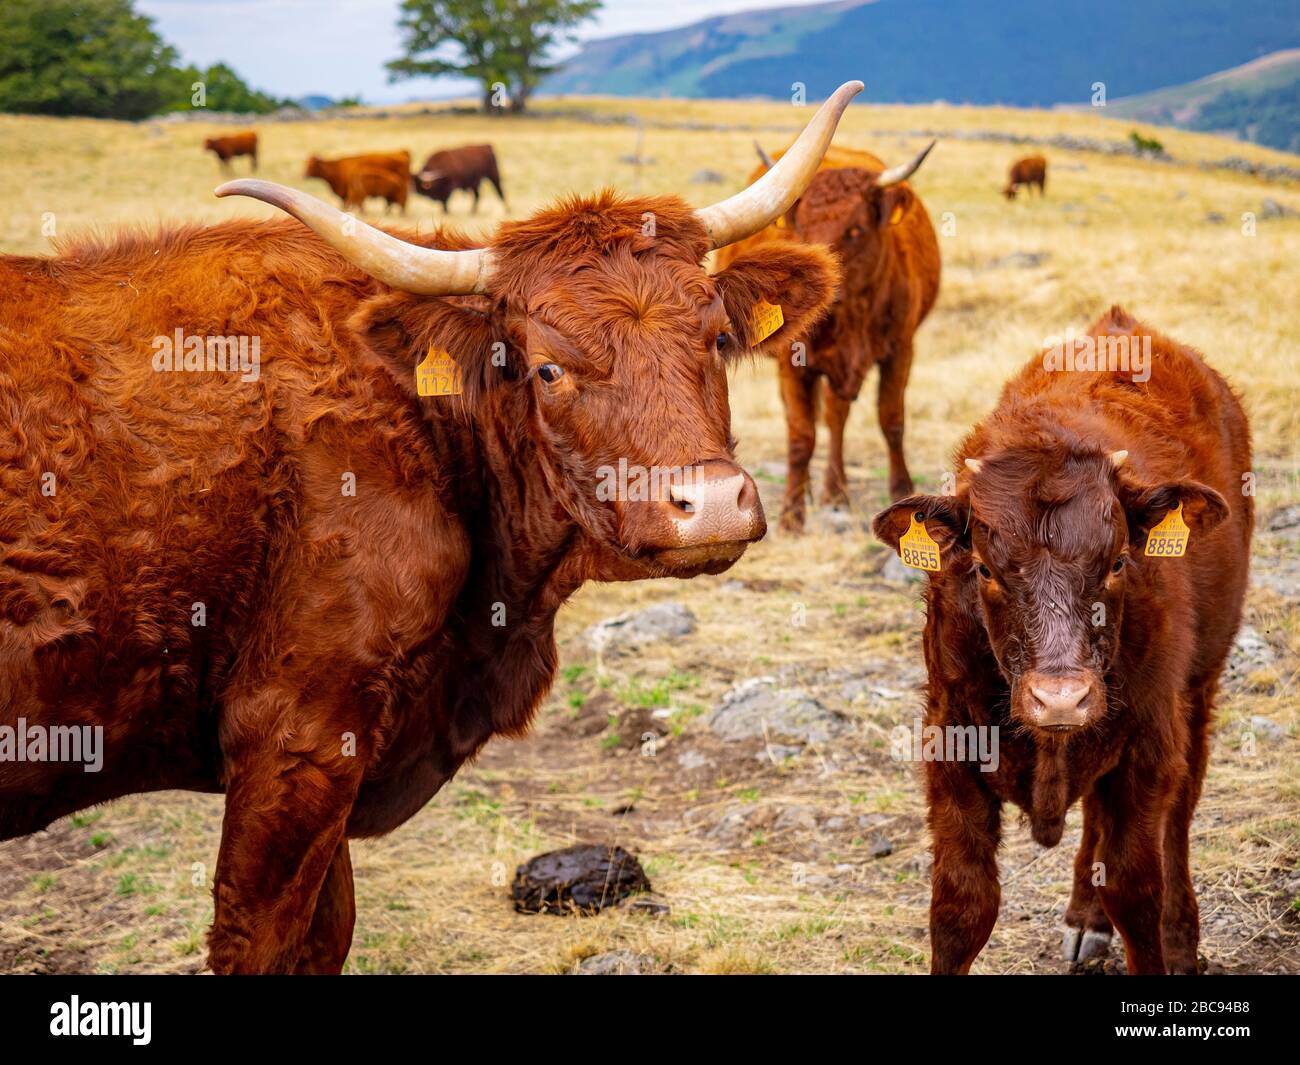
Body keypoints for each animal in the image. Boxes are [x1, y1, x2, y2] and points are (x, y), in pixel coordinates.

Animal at [0, 81, 862, 974]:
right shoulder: (295, 733)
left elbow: (329, 932)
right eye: (547, 367)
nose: (714, 502)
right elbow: (263, 937)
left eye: (719, 338)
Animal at [715, 141, 939, 529]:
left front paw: (902, 490)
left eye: (856, 229)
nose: (823, 286)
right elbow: (801, 436)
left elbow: (892, 421)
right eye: (802, 229)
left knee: (837, 419)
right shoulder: (792, 363)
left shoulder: (900, 350)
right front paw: (792, 515)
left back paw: (835, 492)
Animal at [872, 306, 1253, 974]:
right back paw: (1085, 918)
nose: (1061, 700)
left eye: (1118, 562)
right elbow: (961, 905)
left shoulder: (1148, 744)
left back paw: (1179, 936)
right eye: (985, 569)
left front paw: (1156, 937)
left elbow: (1136, 889)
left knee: (1181, 810)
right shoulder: (950, 746)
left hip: (1200, 687)